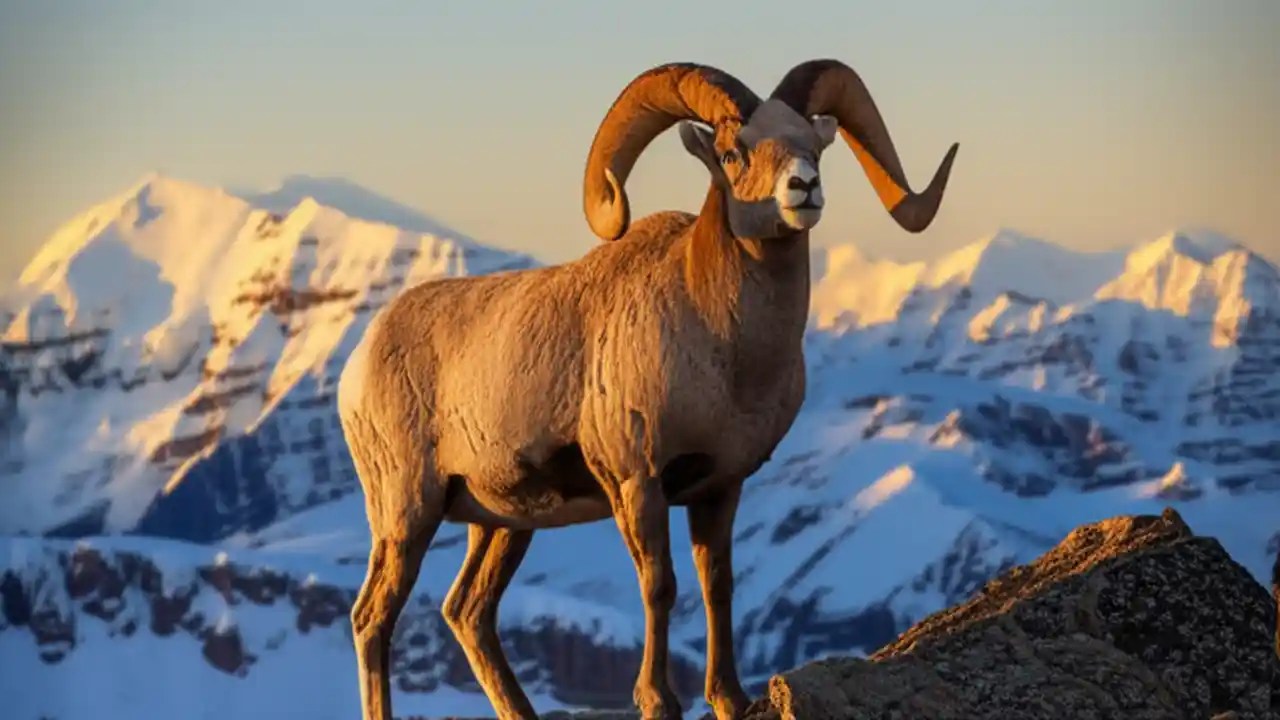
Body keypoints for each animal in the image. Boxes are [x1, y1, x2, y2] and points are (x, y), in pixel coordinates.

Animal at [337, 58, 959, 720]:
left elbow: (717, 585)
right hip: (407, 514)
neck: (727, 355)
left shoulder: (719, 489)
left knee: (467, 612)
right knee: (374, 617)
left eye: (813, 147)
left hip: (502, 523)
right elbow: (660, 586)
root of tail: (360, 361)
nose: (803, 189)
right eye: (733, 153)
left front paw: (729, 696)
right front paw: (658, 699)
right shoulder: (638, 482)